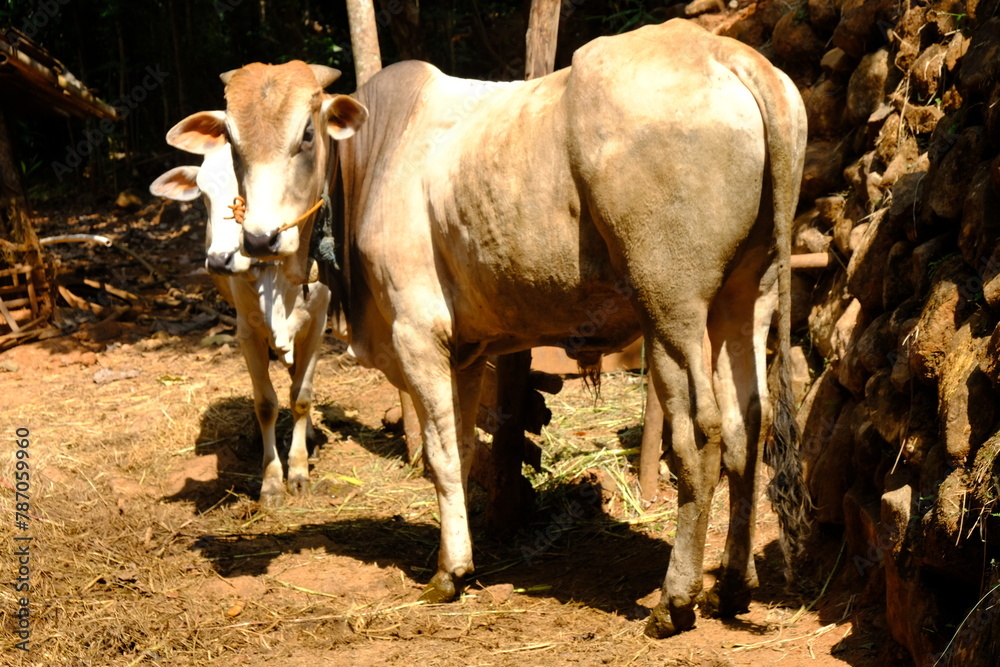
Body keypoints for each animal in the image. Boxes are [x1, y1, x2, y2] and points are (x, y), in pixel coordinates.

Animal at [149, 139, 332, 508]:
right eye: (203, 194)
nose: (220, 260)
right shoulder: (246, 333)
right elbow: (266, 404)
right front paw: (272, 481)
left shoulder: (318, 323)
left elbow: (301, 397)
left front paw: (299, 470)